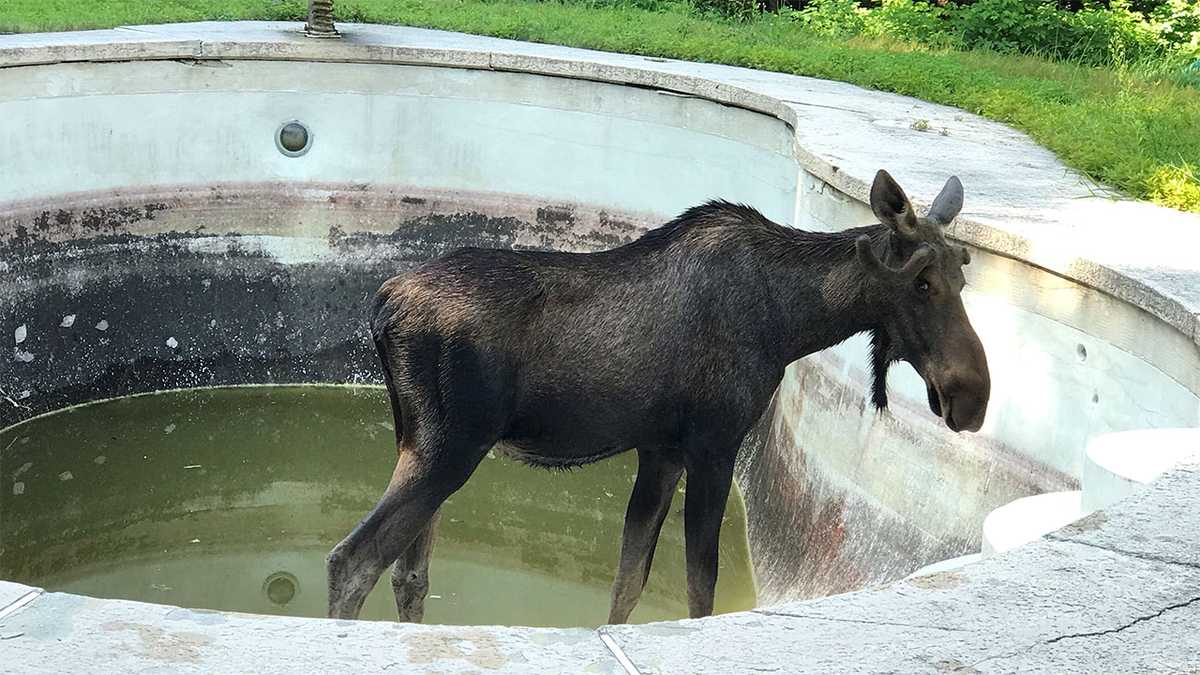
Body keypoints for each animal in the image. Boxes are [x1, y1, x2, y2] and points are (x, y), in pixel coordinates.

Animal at [326, 170, 990, 624]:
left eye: (962, 271)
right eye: (921, 281)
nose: (973, 396)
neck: (793, 321)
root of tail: (382, 307)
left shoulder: (661, 451)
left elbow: (628, 581)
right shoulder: (714, 445)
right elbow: (701, 586)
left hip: (419, 441)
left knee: (409, 574)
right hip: (448, 447)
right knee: (352, 562)